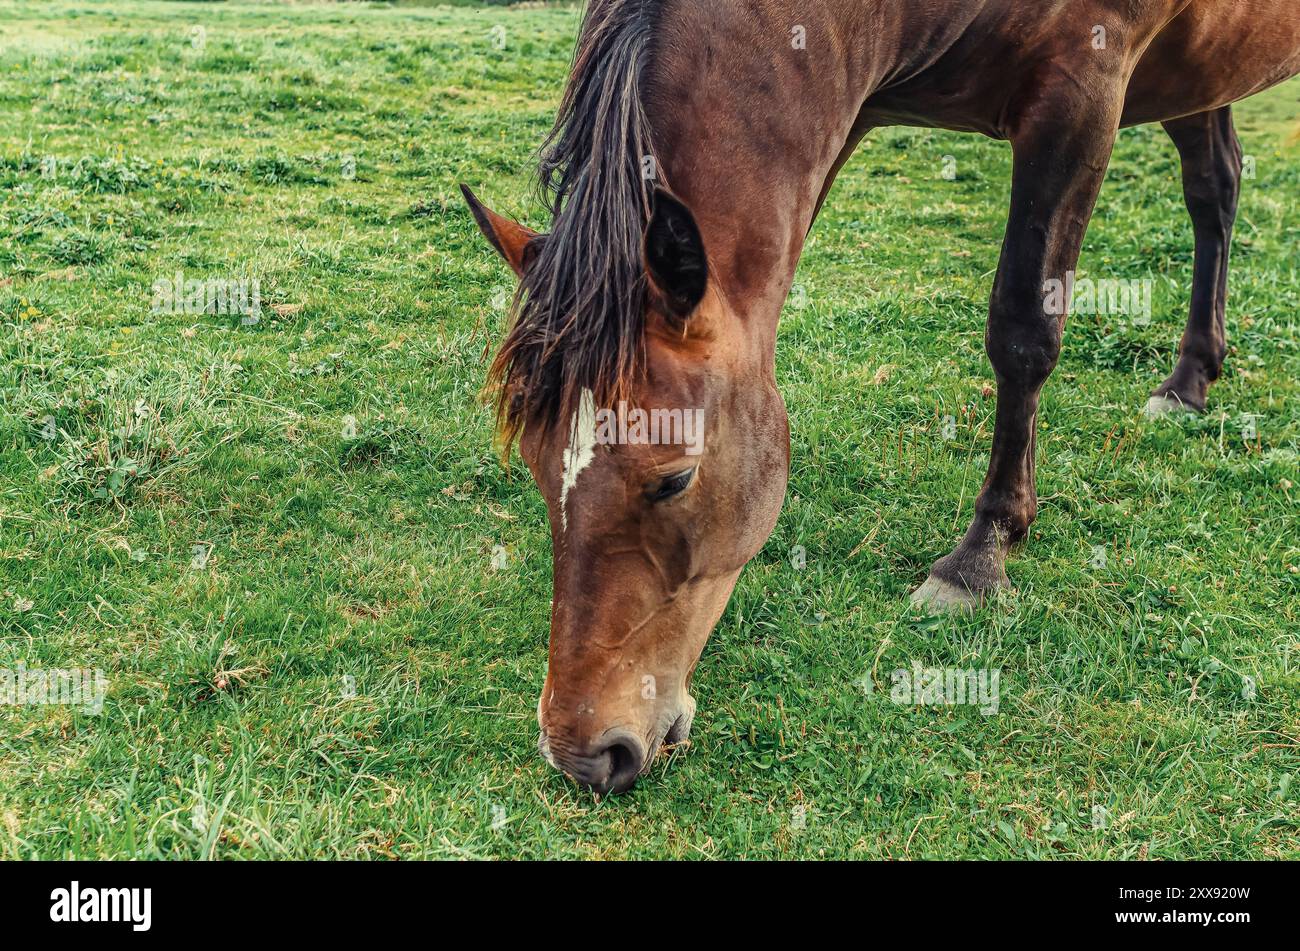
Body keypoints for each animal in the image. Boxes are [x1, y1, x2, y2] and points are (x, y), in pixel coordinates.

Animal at [462, 0, 1300, 794]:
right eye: (535, 464)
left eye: (674, 478)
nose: (581, 752)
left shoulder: (1083, 96)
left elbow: (1024, 330)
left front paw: (981, 555)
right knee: (1216, 184)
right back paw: (1189, 380)